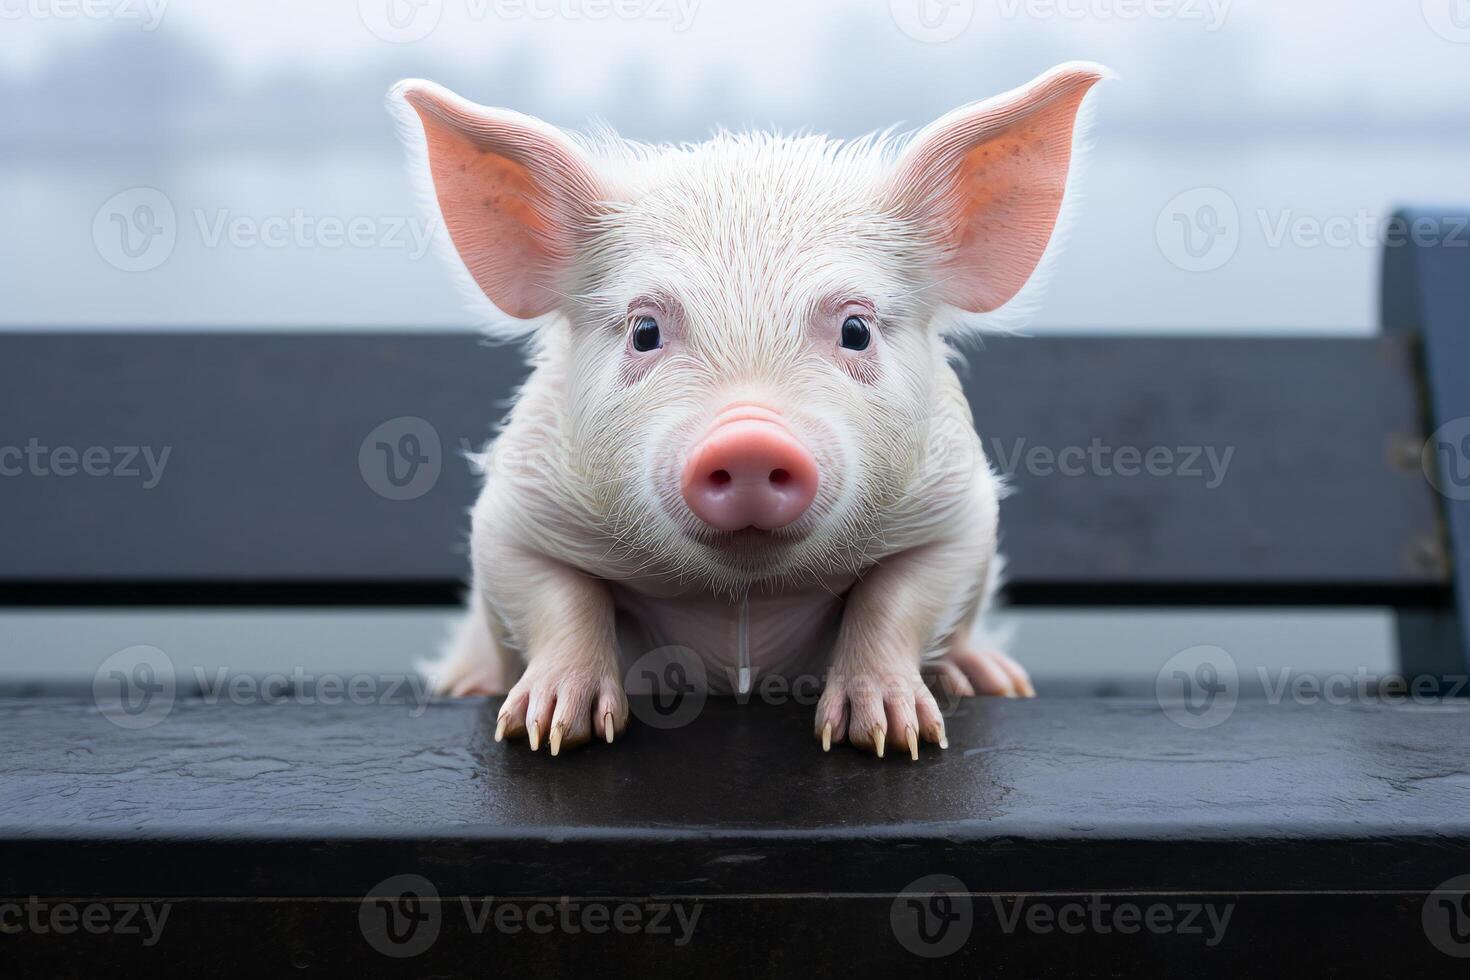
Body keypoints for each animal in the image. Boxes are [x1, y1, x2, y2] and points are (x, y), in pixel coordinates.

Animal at [389, 63, 1108, 758]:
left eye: (856, 330)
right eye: (644, 331)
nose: (750, 438)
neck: (744, 595)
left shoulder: (957, 511)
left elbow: (896, 601)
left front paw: (892, 736)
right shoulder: (513, 511)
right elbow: (559, 598)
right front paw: (548, 730)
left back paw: (992, 680)